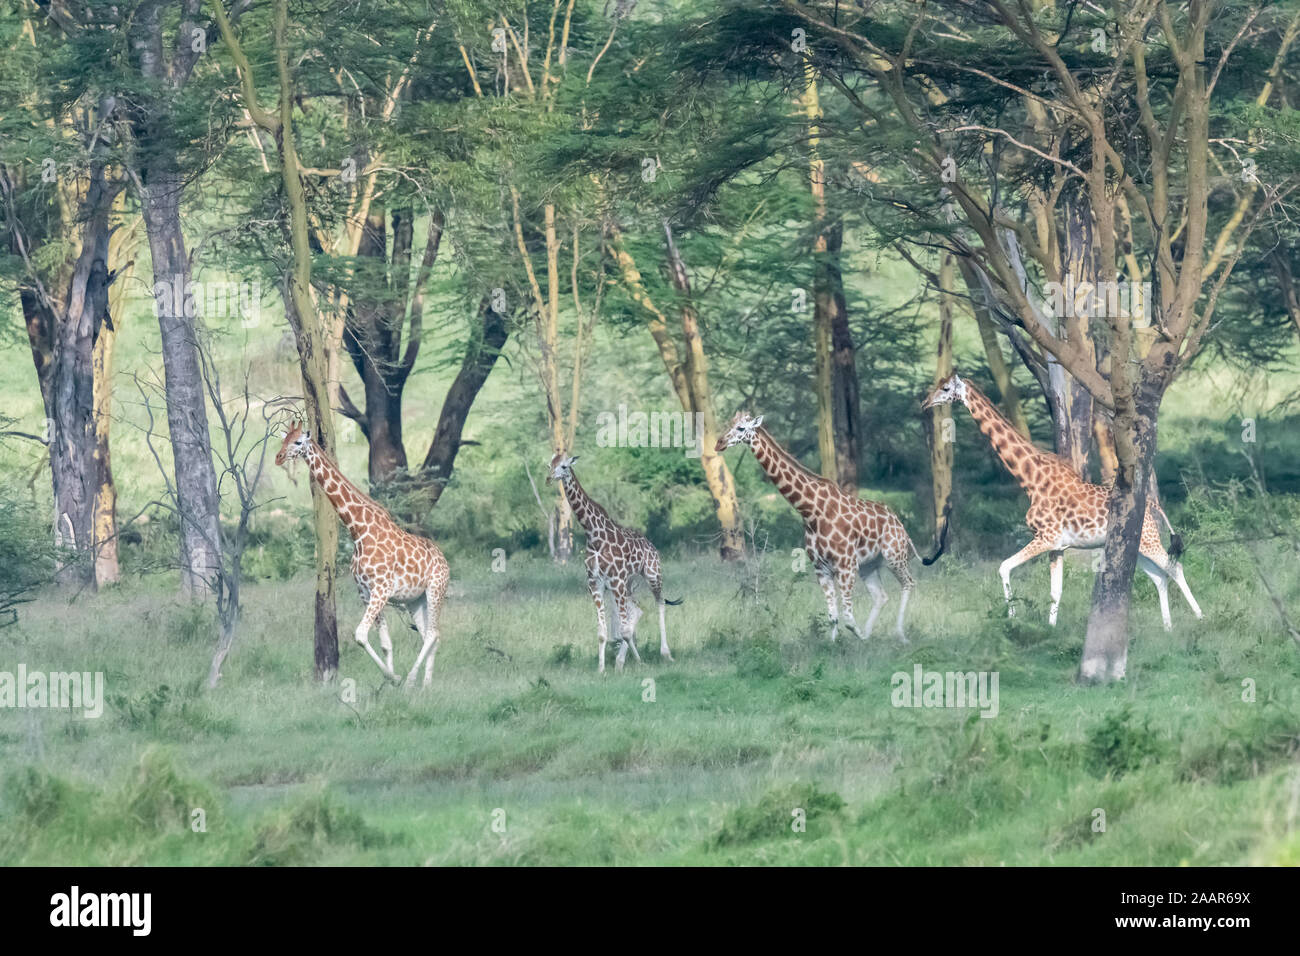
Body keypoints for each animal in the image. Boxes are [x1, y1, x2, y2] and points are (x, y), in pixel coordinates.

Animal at [275, 421, 450, 687]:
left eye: (297, 442)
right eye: (283, 439)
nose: (278, 457)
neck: (357, 529)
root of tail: (445, 561)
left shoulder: (381, 589)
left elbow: (360, 634)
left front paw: (394, 677)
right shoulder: (365, 593)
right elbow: (384, 642)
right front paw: (389, 681)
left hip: (435, 590)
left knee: (432, 633)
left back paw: (413, 680)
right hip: (414, 600)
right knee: (430, 635)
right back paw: (425, 684)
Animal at [547, 453, 681, 673]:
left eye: (564, 466)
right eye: (549, 465)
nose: (549, 478)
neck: (593, 535)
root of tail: (652, 545)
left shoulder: (615, 580)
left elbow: (624, 631)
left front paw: (631, 662)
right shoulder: (595, 583)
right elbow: (603, 632)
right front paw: (602, 669)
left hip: (653, 574)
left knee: (659, 603)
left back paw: (666, 654)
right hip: (629, 584)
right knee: (638, 609)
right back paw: (626, 659)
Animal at [716, 413, 945, 642]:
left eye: (741, 428)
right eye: (729, 424)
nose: (719, 443)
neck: (811, 512)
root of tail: (901, 527)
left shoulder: (846, 565)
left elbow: (849, 619)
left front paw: (859, 639)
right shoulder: (822, 568)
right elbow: (833, 617)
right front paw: (838, 644)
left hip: (893, 556)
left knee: (909, 583)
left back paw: (900, 635)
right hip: (869, 565)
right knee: (881, 596)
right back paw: (872, 633)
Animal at [921, 373, 1202, 629]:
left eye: (945, 388)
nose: (924, 402)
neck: (1030, 480)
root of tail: (1154, 506)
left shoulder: (1046, 537)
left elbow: (1004, 567)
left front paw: (1011, 617)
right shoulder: (1057, 546)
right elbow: (1055, 591)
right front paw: (1050, 630)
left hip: (1148, 540)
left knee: (1175, 568)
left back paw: (1201, 619)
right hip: (1136, 545)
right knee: (1160, 577)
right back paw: (1167, 628)